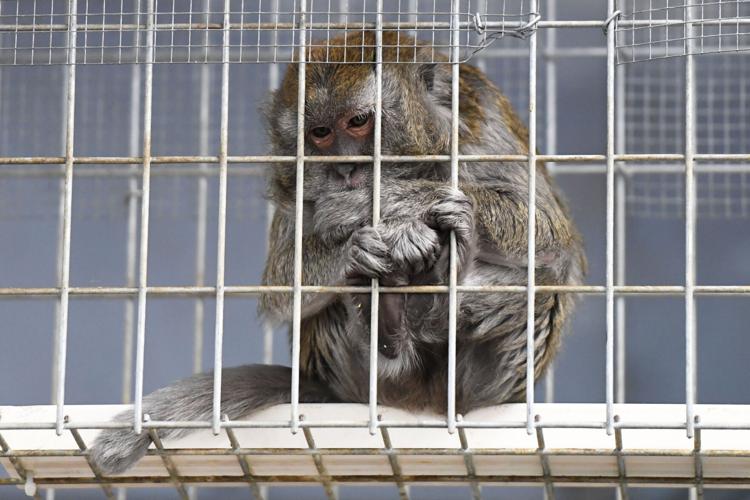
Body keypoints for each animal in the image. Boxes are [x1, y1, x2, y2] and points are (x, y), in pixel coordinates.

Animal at [89, 31, 585, 474]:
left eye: (359, 122)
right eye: (321, 133)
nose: (346, 168)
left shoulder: (481, 128)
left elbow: (549, 233)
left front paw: (385, 198)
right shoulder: (294, 181)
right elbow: (280, 287)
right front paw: (362, 235)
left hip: (504, 372)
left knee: (541, 279)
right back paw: (387, 312)